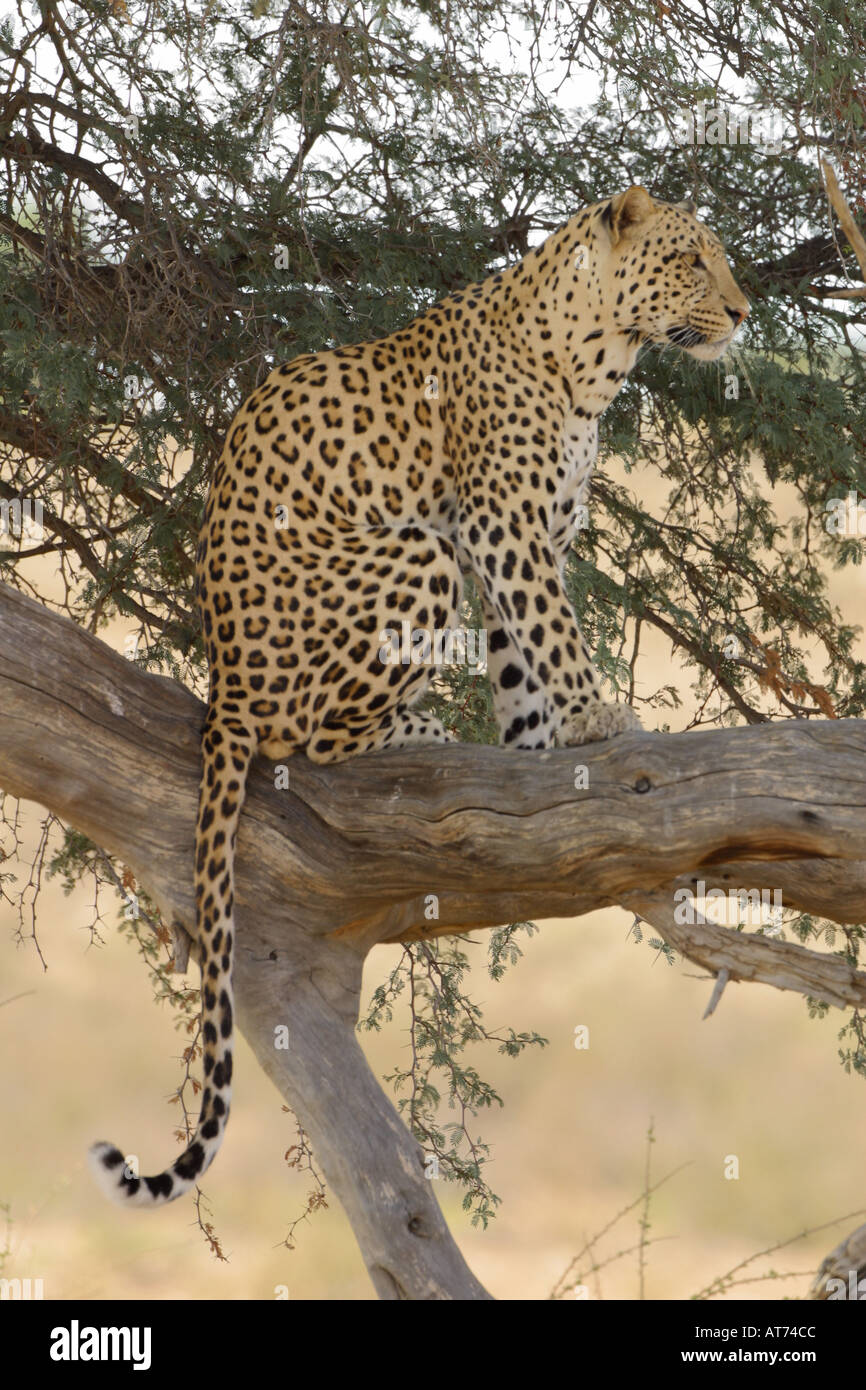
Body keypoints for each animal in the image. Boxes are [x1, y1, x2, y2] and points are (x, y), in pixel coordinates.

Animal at [89, 185, 749, 1204]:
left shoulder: (522, 537)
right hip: (411, 553)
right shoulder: (503, 525)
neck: (598, 359)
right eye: (689, 260)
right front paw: (596, 720)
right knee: (309, 739)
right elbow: (553, 630)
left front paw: (533, 749)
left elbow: (519, 652)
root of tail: (224, 686)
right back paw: (418, 727)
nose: (745, 314)